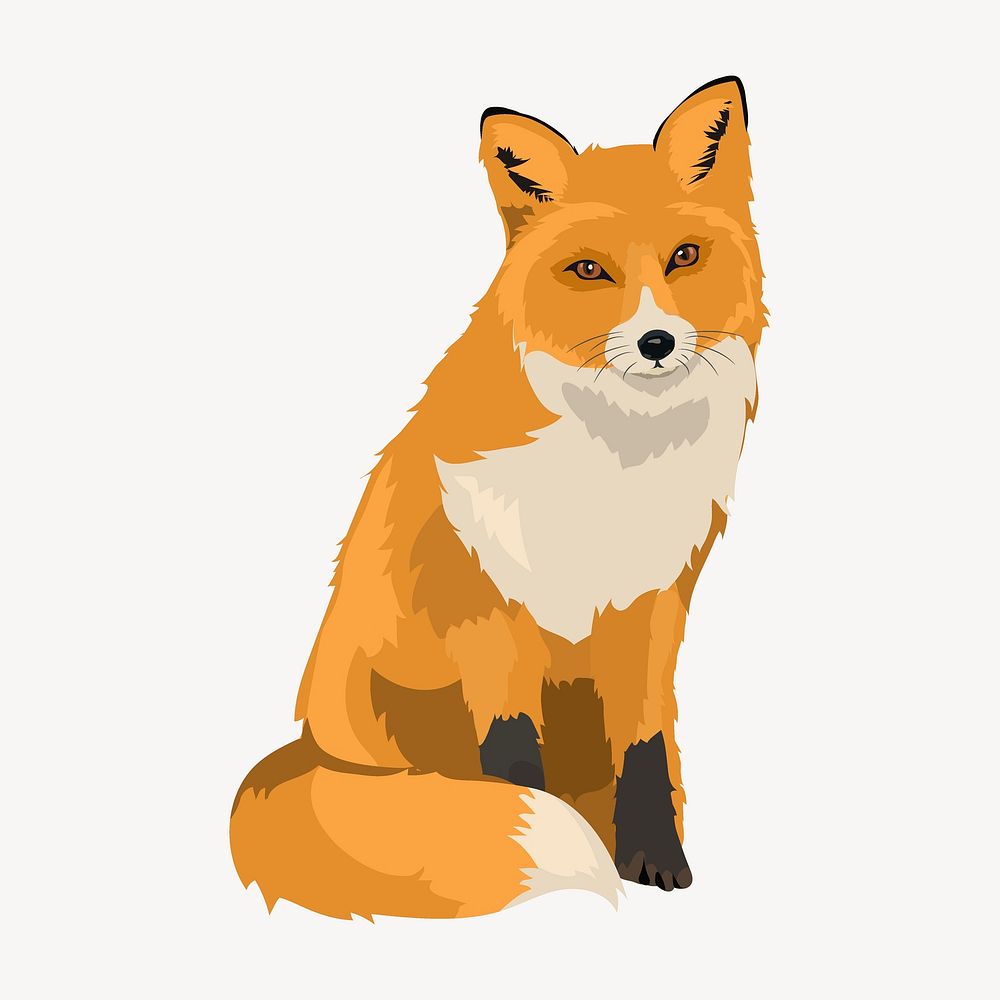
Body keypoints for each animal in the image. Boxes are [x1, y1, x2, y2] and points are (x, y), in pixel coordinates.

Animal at [230, 75, 766, 920]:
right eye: (589, 270)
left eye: (684, 256)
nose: (656, 342)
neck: (612, 464)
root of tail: (306, 744)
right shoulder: (484, 606)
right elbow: (511, 758)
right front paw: (528, 854)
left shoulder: (650, 610)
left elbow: (643, 747)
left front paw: (655, 860)